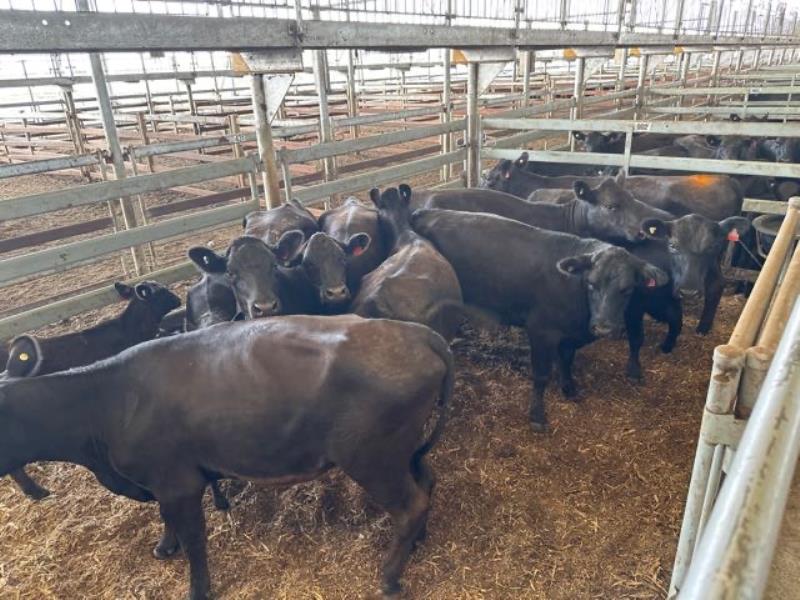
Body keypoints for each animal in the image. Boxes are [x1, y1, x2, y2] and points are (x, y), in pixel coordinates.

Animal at [0, 314, 454, 600]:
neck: (107, 401)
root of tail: (419, 334)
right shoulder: (164, 480)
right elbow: (167, 520)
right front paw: (164, 547)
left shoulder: (178, 482)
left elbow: (194, 539)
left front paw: (197, 589)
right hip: (402, 449)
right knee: (427, 483)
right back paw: (417, 542)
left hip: (372, 457)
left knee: (411, 503)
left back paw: (390, 578)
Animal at [411, 209, 667, 432]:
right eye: (591, 283)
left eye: (627, 289)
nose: (603, 327)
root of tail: (424, 211)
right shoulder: (541, 331)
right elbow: (541, 375)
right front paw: (537, 416)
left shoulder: (568, 335)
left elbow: (566, 360)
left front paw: (569, 388)